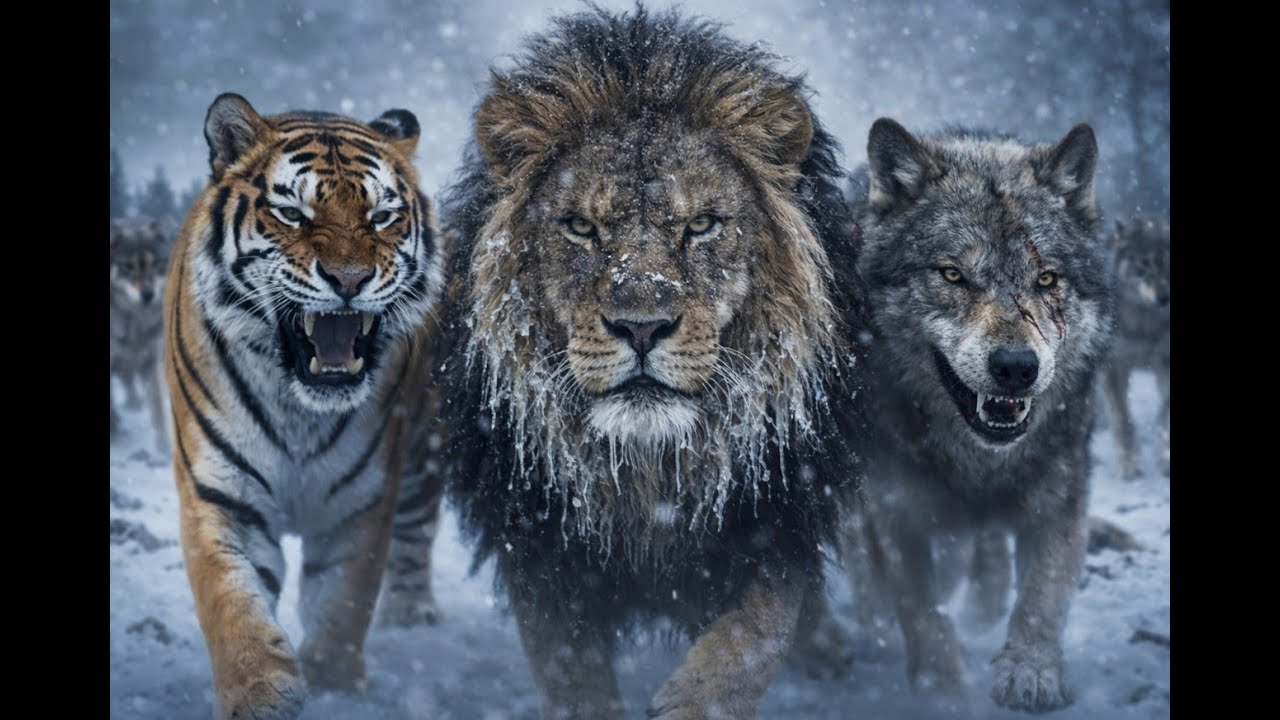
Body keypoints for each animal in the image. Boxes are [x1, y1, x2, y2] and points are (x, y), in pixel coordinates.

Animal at [110, 216, 172, 454]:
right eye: (128, 267)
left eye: (155, 264)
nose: (148, 294)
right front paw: (116, 435)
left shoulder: (150, 360)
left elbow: (158, 409)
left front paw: (164, 446)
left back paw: (134, 403)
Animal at [849, 118, 1113, 712]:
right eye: (952, 275)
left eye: (1046, 279)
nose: (1016, 367)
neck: (979, 463)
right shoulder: (892, 508)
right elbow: (919, 607)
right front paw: (940, 687)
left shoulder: (1063, 496)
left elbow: (1043, 594)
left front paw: (1031, 671)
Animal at [1102, 216, 1169, 478]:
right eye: (1144, 264)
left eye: (1169, 263)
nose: (1164, 297)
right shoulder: (1114, 366)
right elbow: (1123, 419)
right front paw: (1129, 464)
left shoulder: (1165, 364)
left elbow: (1164, 415)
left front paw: (1164, 457)